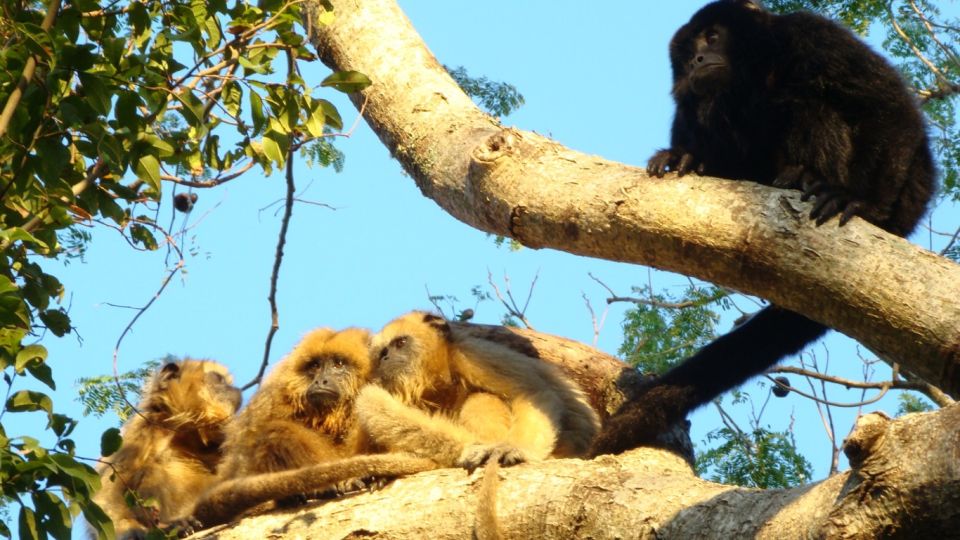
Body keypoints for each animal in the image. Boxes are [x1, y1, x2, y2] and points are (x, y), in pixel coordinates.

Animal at [90, 359, 241, 540]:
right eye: (219, 379)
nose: (236, 390)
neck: (183, 432)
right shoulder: (138, 432)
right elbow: (107, 493)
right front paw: (130, 532)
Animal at [591, 0, 935, 456]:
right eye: (687, 52)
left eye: (712, 37)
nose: (697, 60)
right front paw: (685, 157)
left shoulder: (812, 34)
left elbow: (887, 106)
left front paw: (862, 201)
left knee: (808, 102)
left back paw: (805, 178)